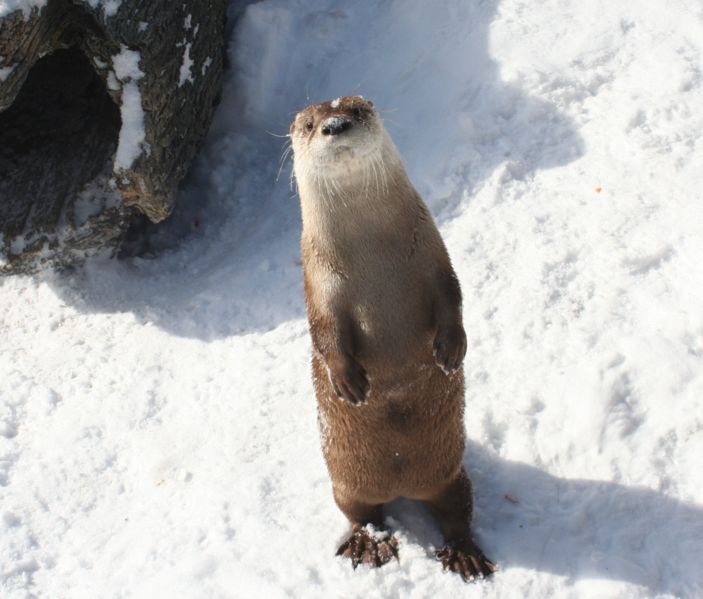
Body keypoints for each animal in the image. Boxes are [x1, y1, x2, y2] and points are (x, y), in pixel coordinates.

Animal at [290, 95, 496, 582]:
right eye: (308, 124)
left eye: (355, 110)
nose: (334, 125)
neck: (373, 255)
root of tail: (403, 488)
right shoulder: (320, 283)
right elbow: (324, 331)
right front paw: (349, 383)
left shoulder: (433, 253)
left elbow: (453, 294)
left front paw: (451, 350)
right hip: (346, 482)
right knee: (361, 513)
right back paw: (370, 544)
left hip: (449, 474)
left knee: (457, 511)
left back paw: (464, 554)